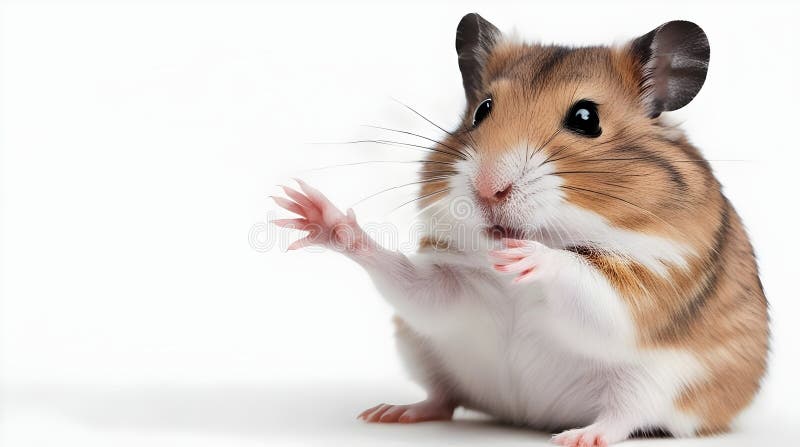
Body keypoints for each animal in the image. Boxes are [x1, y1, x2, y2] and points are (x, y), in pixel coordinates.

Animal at [272, 13, 768, 447]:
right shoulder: (451, 282)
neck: (512, 288)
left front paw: (522, 252)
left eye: (586, 118)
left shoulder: (649, 284)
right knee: (444, 396)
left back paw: (577, 437)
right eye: (483, 110)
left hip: (664, 382)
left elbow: (584, 282)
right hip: (422, 349)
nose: (487, 189)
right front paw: (310, 211)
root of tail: (526, 413)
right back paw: (392, 412)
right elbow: (410, 282)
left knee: (625, 415)